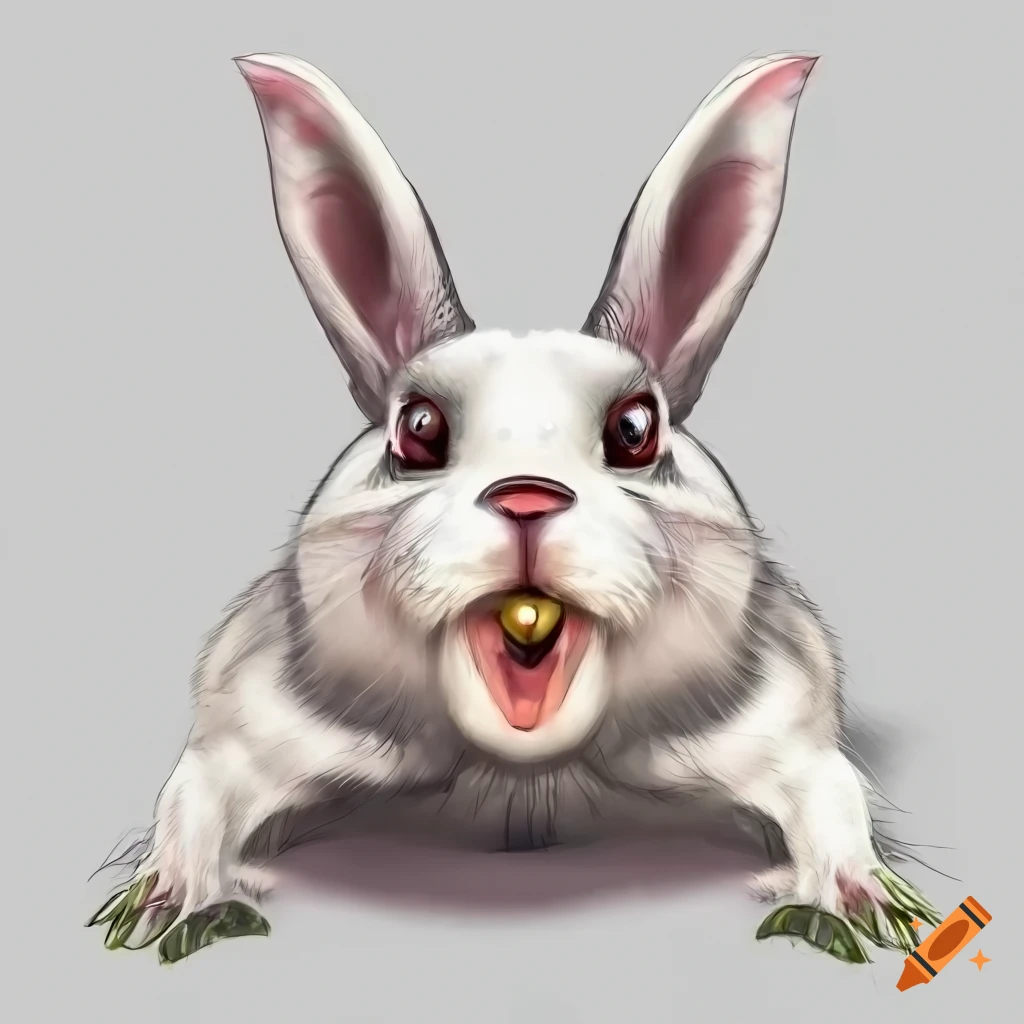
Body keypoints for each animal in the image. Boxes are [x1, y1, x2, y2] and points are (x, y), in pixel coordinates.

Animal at [88, 50, 940, 966]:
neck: (523, 775)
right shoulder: (245, 725)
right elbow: (194, 795)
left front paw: (852, 906)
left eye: (636, 429)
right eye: (417, 428)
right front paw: (173, 906)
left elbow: (833, 796)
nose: (527, 498)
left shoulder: (790, 730)